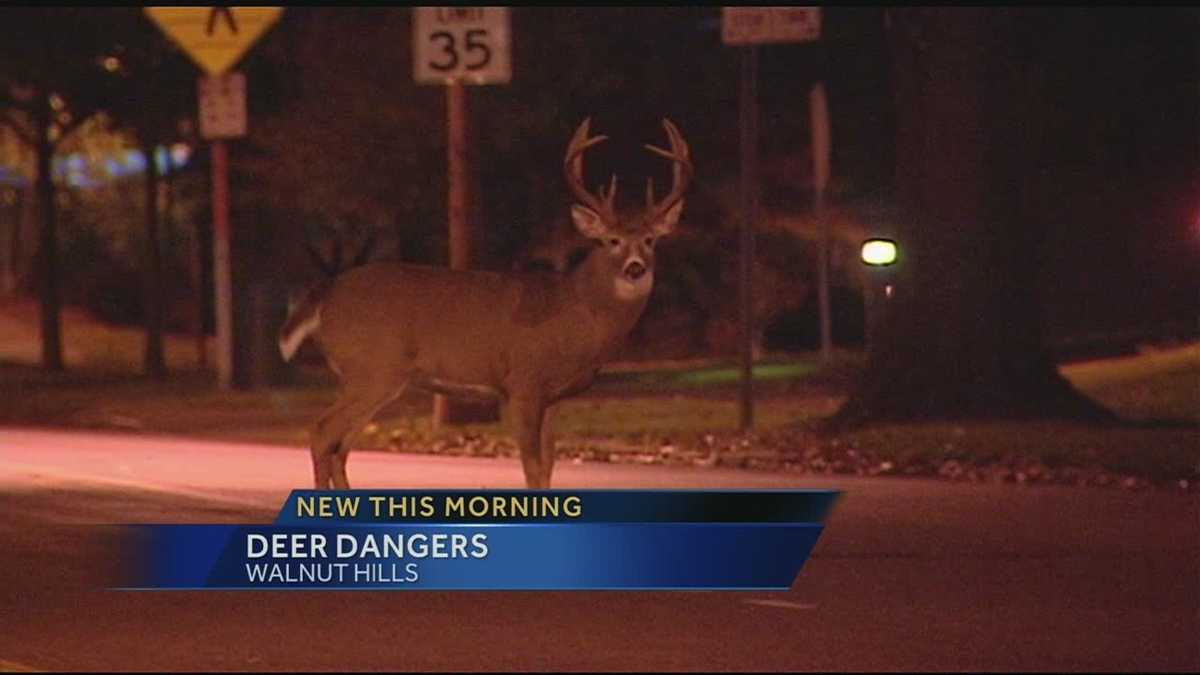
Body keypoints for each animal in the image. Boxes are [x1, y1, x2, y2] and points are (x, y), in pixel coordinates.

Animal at [278, 117, 693, 489]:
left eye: (651, 240)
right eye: (611, 241)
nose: (635, 267)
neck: (578, 312)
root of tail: (326, 294)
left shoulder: (555, 397)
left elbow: (550, 465)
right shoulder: (523, 382)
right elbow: (532, 467)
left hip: (376, 378)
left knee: (340, 445)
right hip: (371, 368)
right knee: (322, 433)